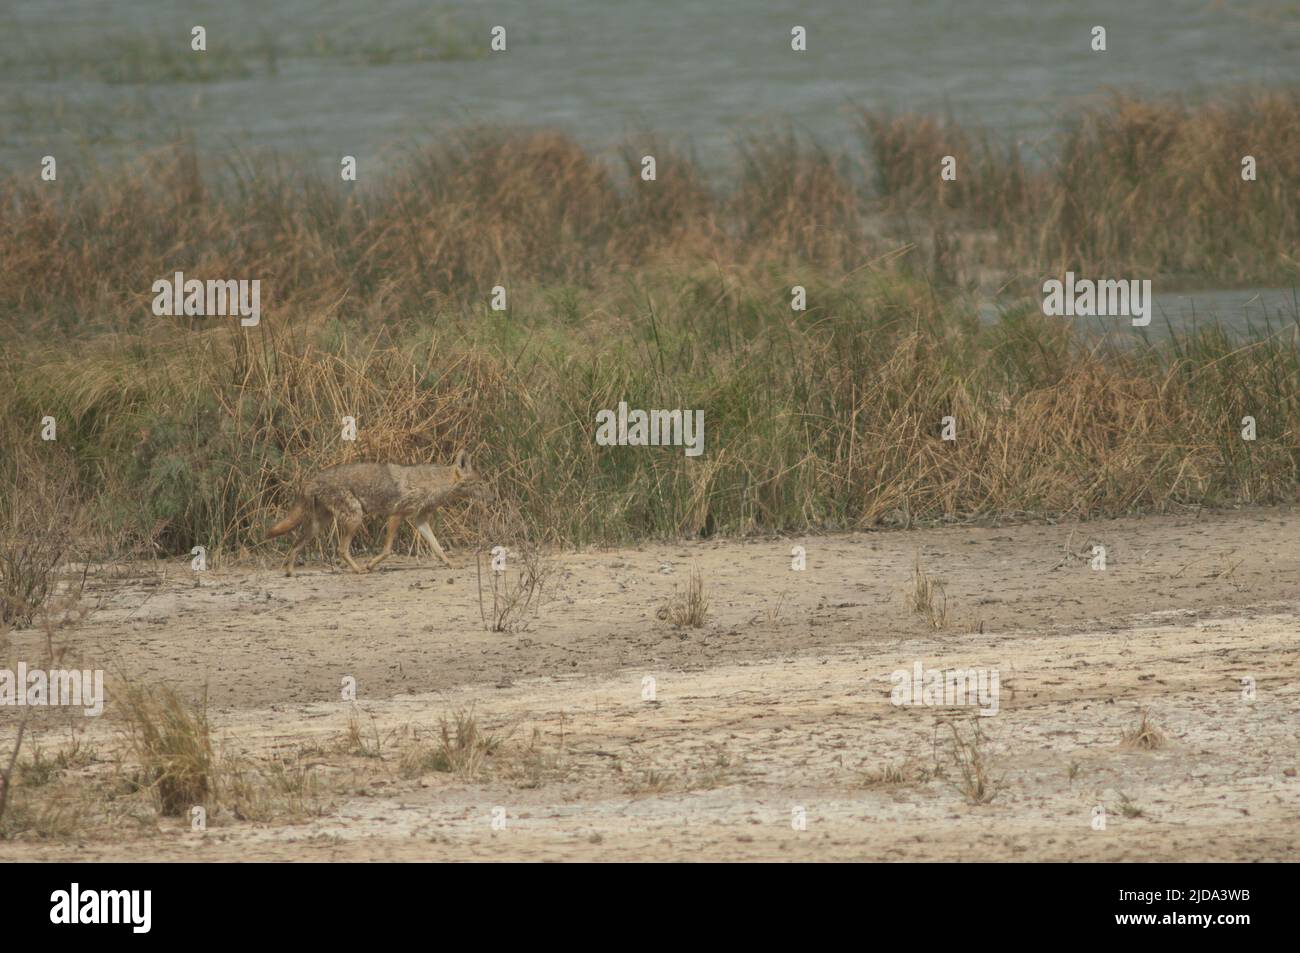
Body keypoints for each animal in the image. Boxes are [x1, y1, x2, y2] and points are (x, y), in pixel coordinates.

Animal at [267, 451, 490, 576]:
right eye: (480, 484)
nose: (492, 496)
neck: (434, 483)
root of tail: (311, 479)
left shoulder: (420, 521)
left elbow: (438, 548)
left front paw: (451, 563)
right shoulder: (396, 515)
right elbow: (387, 550)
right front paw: (370, 565)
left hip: (318, 526)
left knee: (296, 546)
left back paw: (290, 573)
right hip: (354, 518)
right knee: (341, 549)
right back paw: (358, 570)